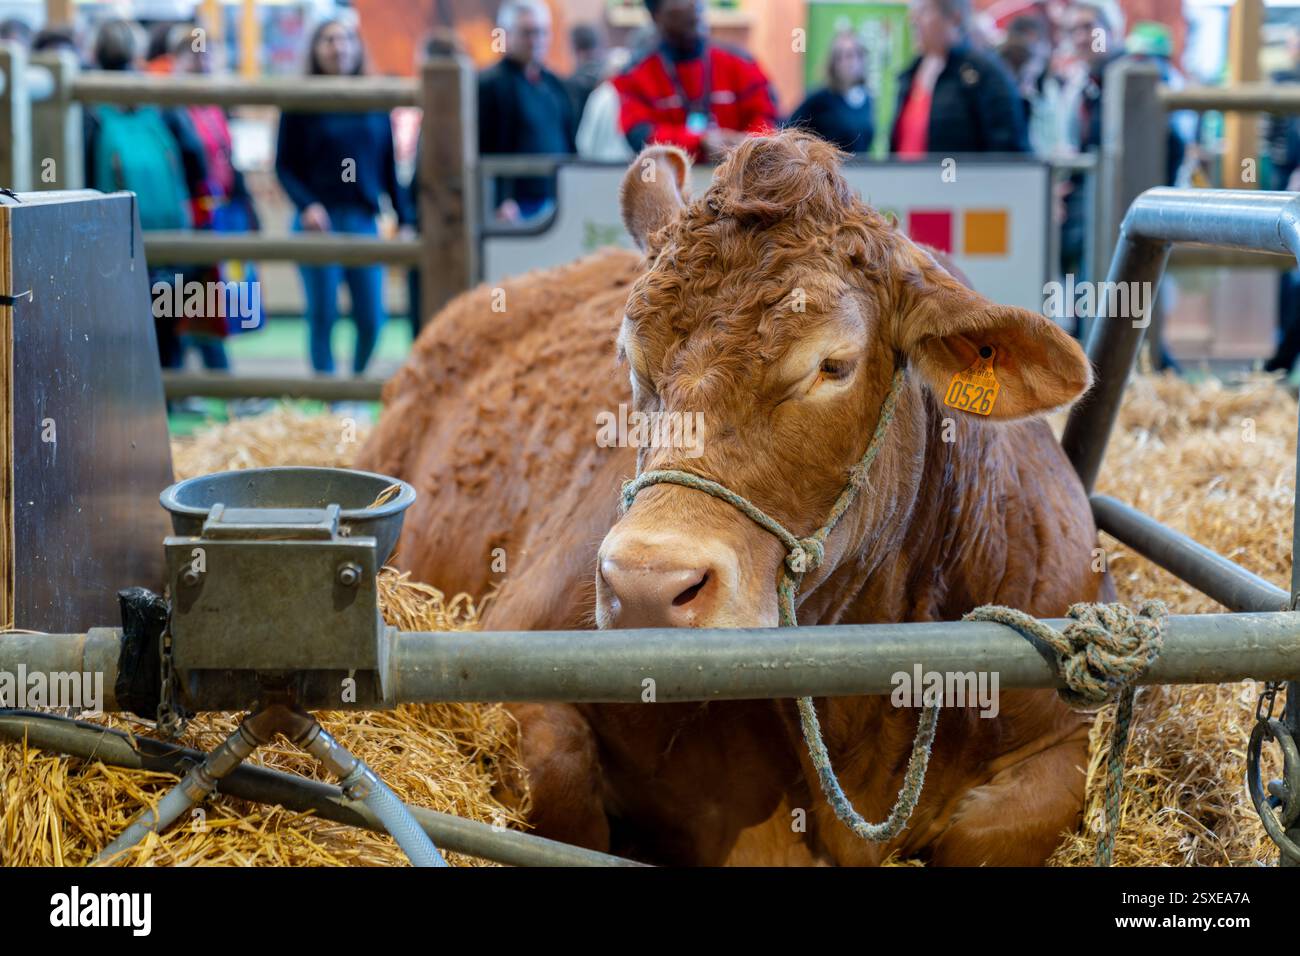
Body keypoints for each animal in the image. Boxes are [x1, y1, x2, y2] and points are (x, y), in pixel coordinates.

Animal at [357, 131, 1105, 865]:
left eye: (833, 365)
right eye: (630, 356)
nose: (647, 586)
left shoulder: (1061, 736)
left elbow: (1000, 830)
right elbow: (561, 785)